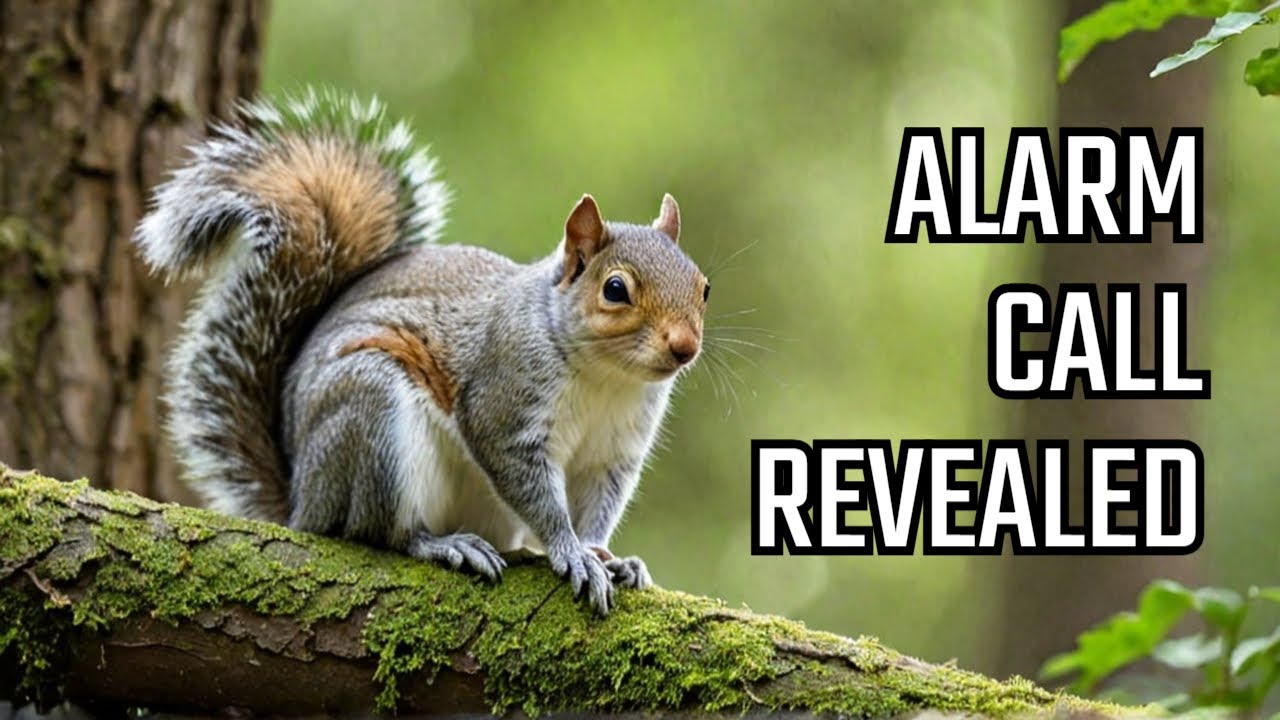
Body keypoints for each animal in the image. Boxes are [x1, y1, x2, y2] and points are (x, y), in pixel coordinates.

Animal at [133, 89, 708, 616]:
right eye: (615, 289)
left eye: (703, 287)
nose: (685, 347)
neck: (607, 376)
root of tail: (302, 501)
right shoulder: (504, 401)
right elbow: (535, 492)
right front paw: (571, 552)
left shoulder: (613, 452)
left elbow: (598, 506)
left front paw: (606, 556)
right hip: (372, 416)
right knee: (378, 532)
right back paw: (442, 545)